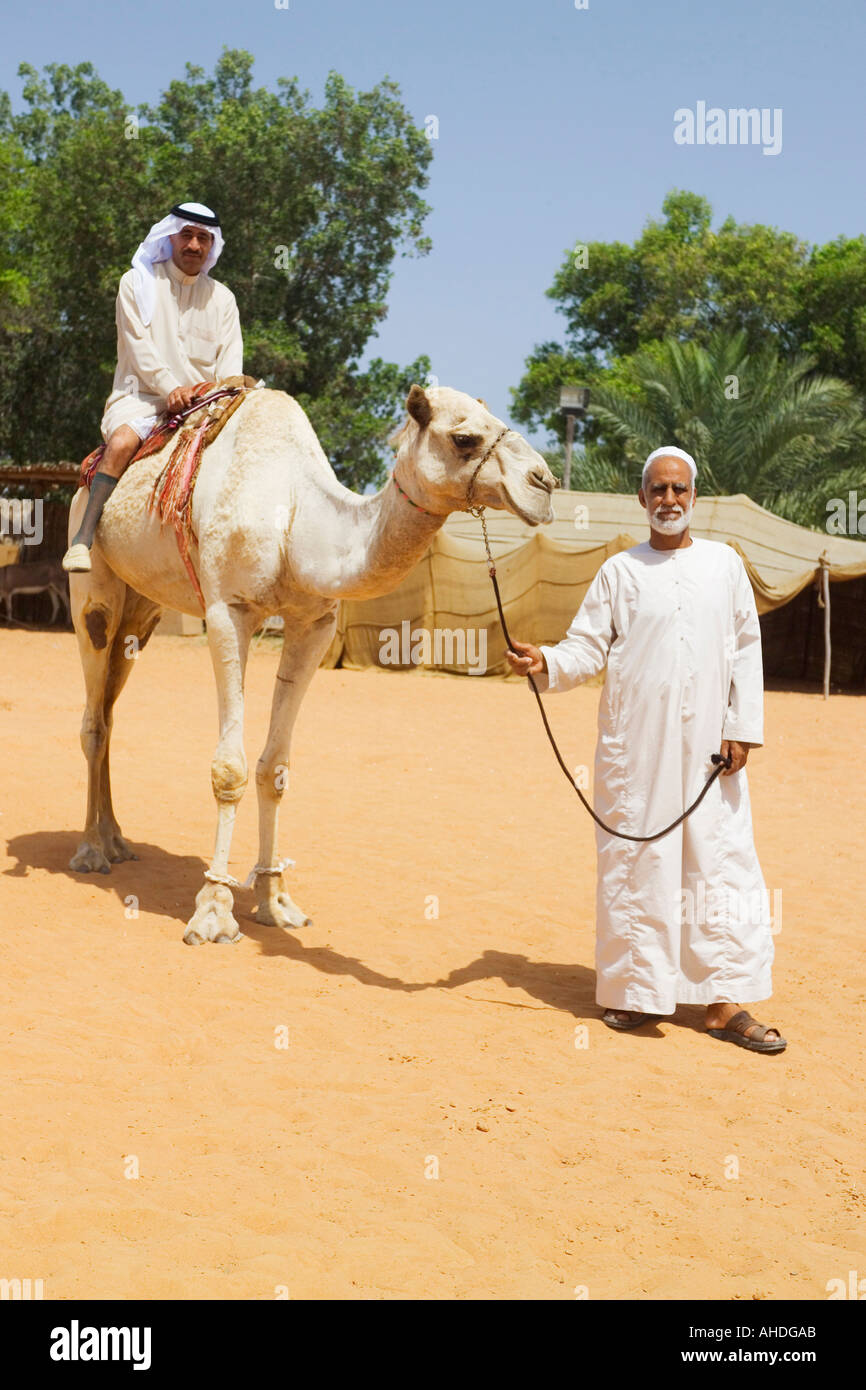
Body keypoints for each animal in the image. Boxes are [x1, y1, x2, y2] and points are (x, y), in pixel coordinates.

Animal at [66, 383, 556, 943]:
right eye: (465, 438)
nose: (545, 483)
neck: (296, 519)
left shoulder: (314, 624)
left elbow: (275, 768)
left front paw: (276, 901)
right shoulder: (227, 610)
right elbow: (229, 768)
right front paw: (213, 910)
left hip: (143, 611)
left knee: (109, 708)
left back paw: (117, 839)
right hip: (95, 590)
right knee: (94, 715)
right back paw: (91, 850)